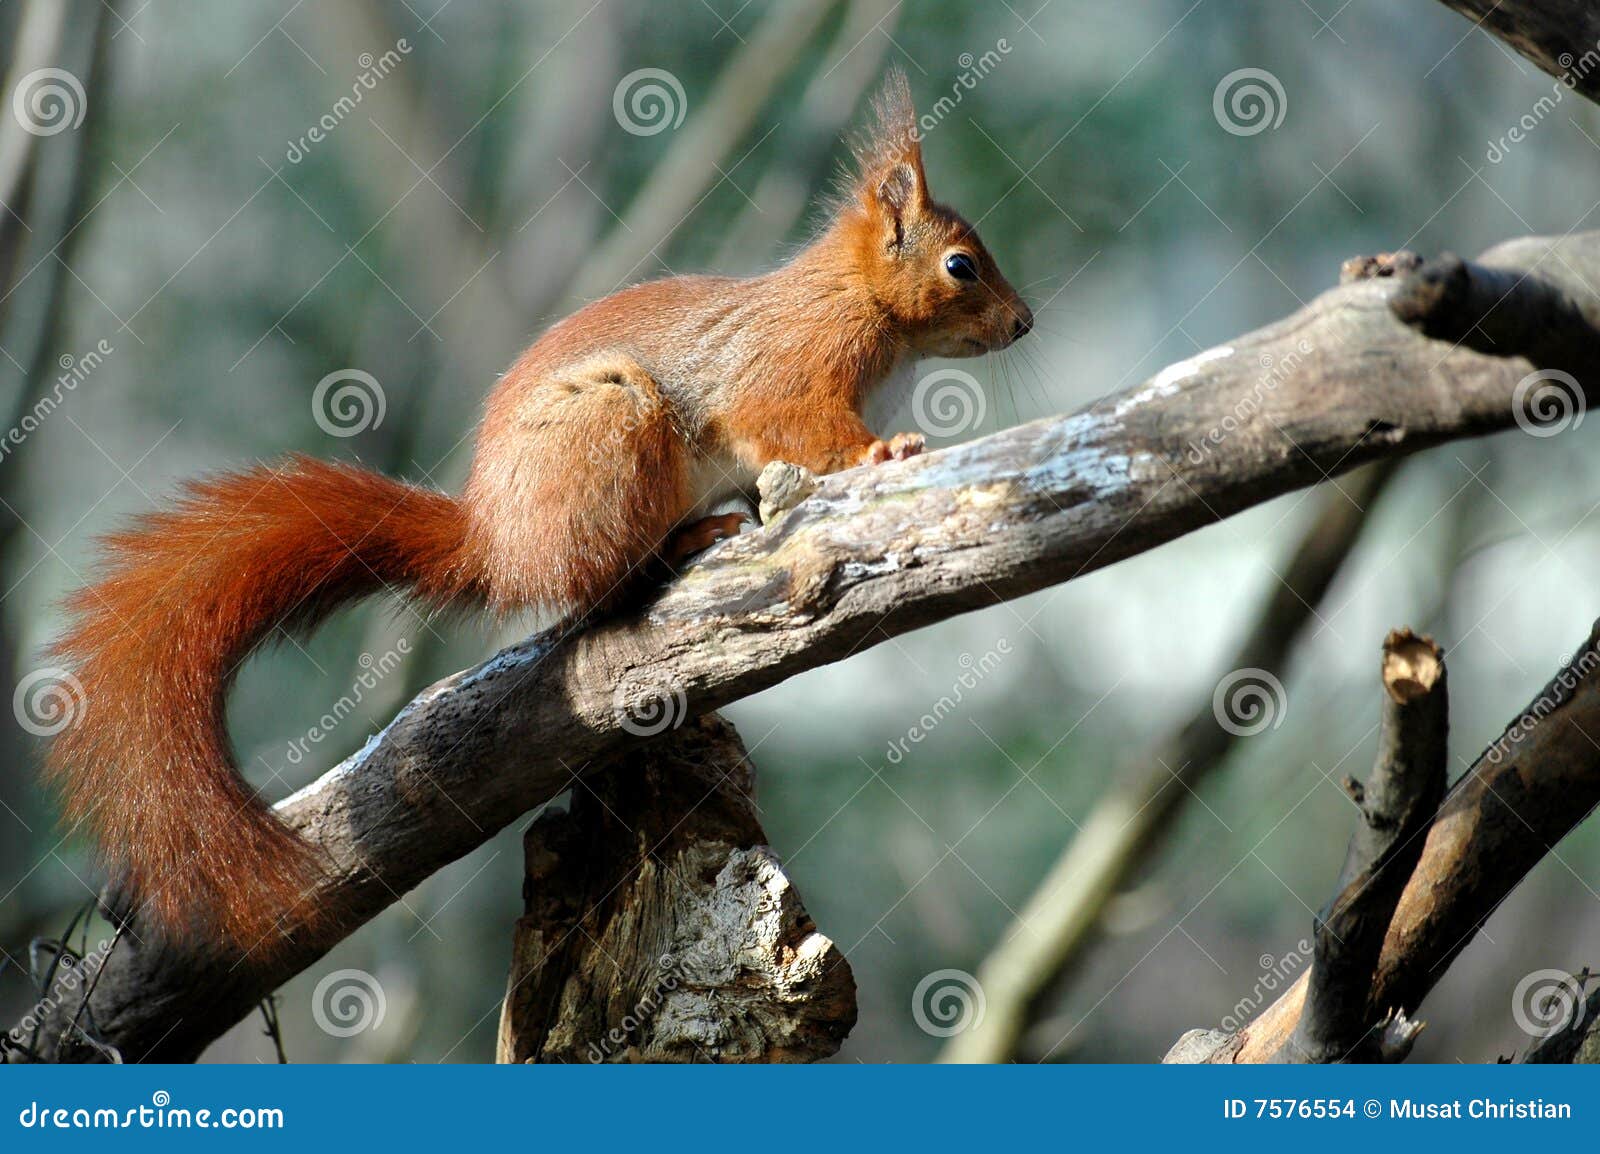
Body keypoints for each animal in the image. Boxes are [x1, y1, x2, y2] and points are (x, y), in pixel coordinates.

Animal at [43, 70, 1032, 958]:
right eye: (960, 265)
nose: (1025, 323)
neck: (858, 300)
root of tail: (497, 544)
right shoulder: (792, 370)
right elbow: (801, 427)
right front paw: (882, 453)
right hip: (614, 430)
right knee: (593, 587)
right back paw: (682, 541)